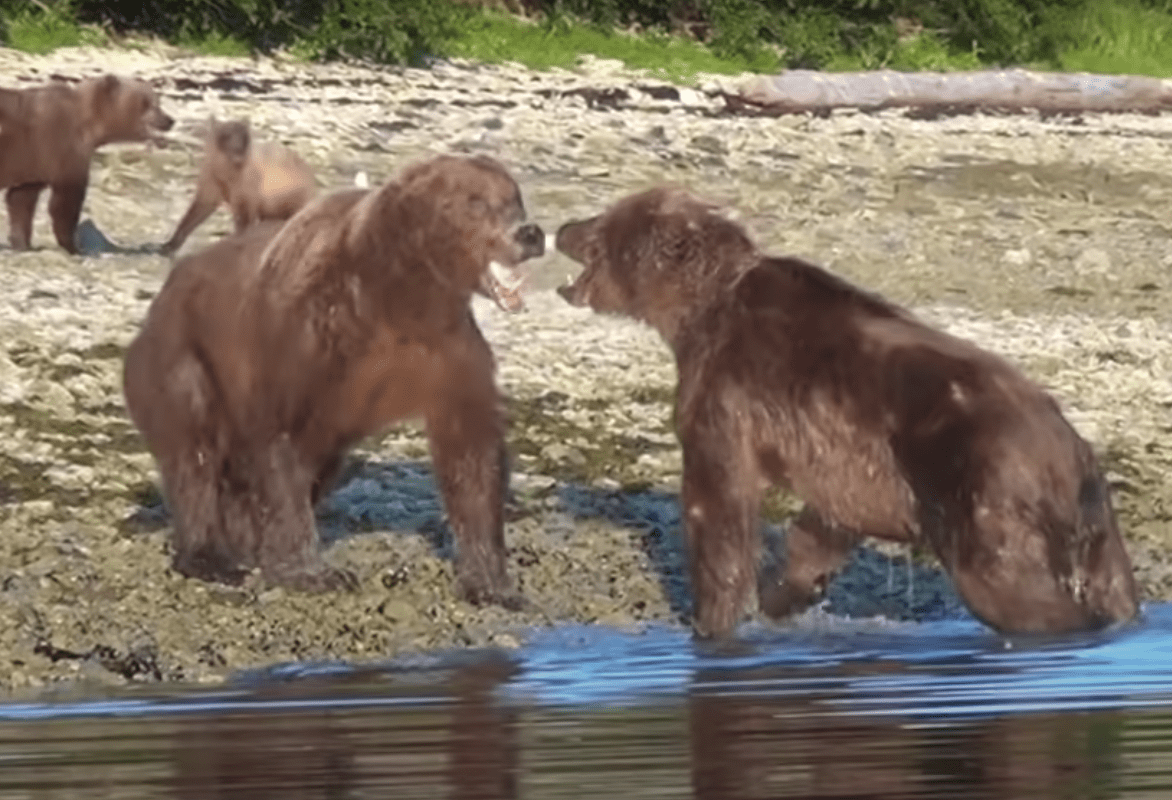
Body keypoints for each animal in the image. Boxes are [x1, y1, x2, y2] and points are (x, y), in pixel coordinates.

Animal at [0, 74, 174, 253]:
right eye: (145, 102)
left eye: (157, 100)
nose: (169, 120)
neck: (89, 127)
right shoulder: (60, 148)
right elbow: (65, 202)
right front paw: (75, 246)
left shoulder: (34, 164)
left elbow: (21, 199)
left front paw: (23, 244)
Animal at [123, 153, 545, 600]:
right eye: (477, 203)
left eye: (515, 200)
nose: (529, 232)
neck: (402, 294)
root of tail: (165, 291)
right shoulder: (308, 341)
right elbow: (280, 446)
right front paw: (310, 572)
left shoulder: (446, 352)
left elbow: (472, 455)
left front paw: (493, 583)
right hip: (183, 355)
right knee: (194, 453)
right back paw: (210, 556)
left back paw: (244, 540)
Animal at [159, 117, 318, 257]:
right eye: (225, 135)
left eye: (245, 137)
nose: (238, 154)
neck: (227, 177)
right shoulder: (209, 186)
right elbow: (190, 218)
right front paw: (169, 245)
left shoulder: (248, 195)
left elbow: (245, 224)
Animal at [555, 186, 1140, 638]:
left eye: (604, 222)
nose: (561, 226)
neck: (694, 314)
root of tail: (1072, 452)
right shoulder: (847, 461)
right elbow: (823, 528)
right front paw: (781, 594)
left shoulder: (724, 395)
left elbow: (718, 507)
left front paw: (711, 621)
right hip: (1096, 524)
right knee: (1115, 588)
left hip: (984, 485)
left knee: (1011, 586)